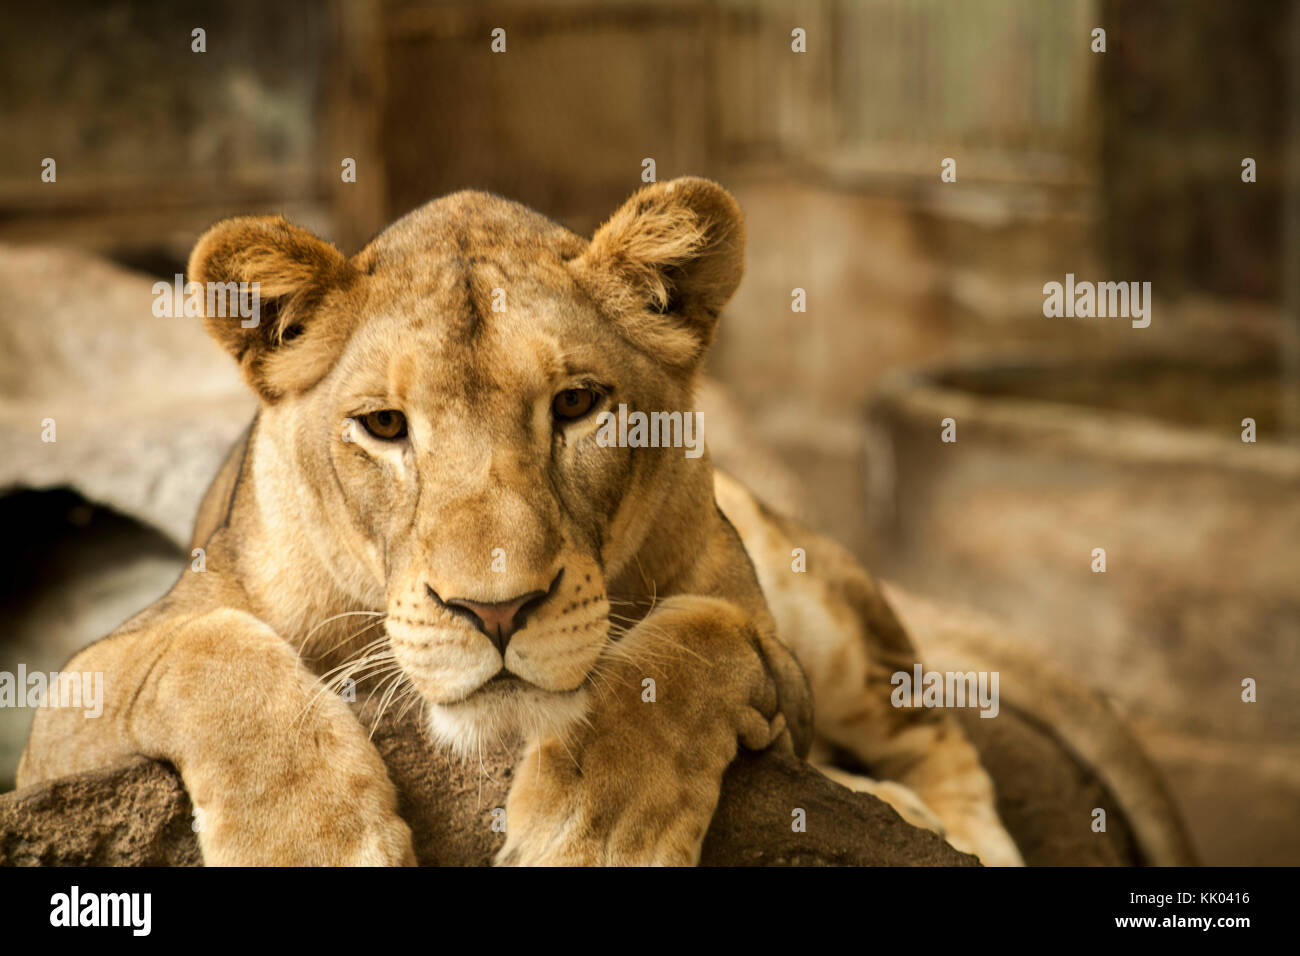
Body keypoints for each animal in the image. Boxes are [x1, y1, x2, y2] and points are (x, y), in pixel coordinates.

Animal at [18, 177, 1022, 866]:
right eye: (385, 426)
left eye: (576, 405)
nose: (494, 611)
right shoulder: (66, 713)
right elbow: (206, 654)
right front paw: (306, 845)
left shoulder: (779, 667)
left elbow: (696, 634)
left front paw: (594, 830)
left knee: (939, 737)